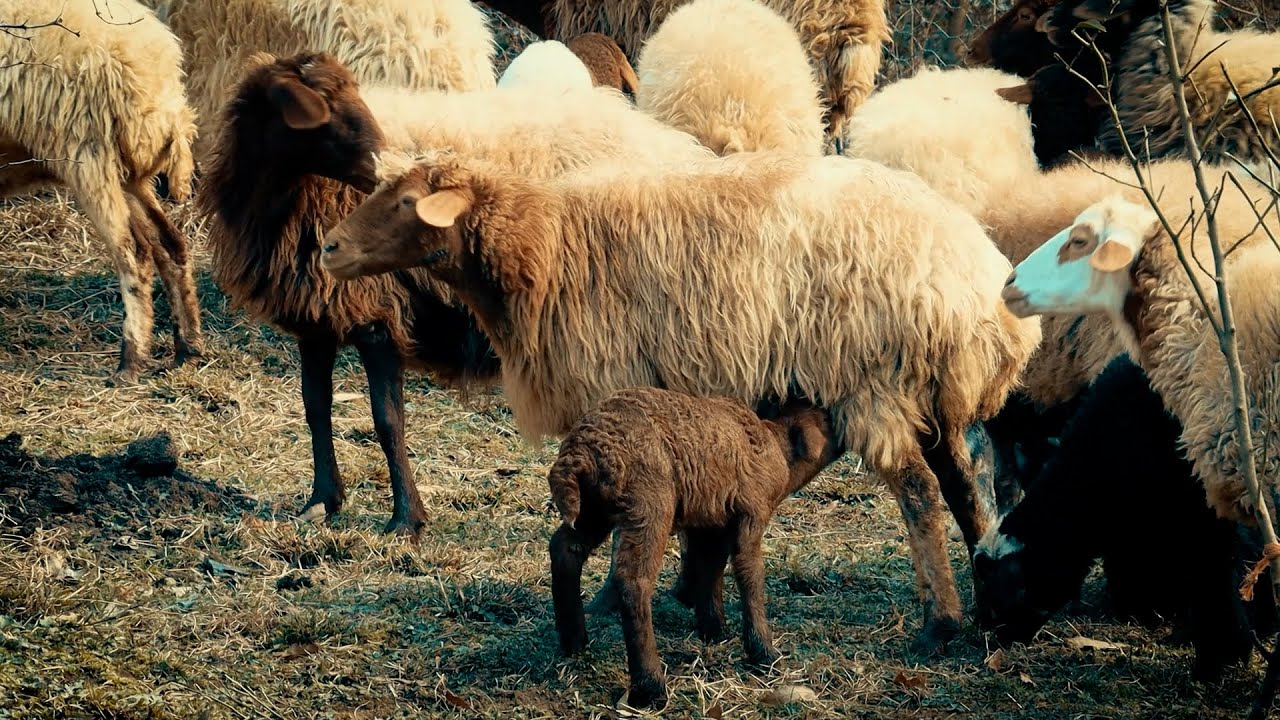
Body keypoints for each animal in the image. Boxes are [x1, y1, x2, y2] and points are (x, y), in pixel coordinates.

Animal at [0, 0, 201, 384]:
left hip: (88, 155)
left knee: (133, 254)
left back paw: (130, 363)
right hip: (126, 174)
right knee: (169, 244)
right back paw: (188, 348)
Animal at [198, 51, 714, 536]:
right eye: (324, 108)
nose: (389, 164)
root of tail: (676, 145)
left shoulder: (377, 315)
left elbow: (388, 420)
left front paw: (406, 519)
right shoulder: (318, 320)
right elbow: (315, 408)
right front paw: (322, 501)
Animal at [317, 147, 1044, 655]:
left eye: (408, 200)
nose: (328, 247)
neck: (548, 246)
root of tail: (976, 279)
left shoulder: (612, 387)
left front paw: (613, 597)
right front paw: (691, 591)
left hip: (872, 380)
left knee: (920, 494)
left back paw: (939, 623)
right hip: (931, 395)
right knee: (964, 488)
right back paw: (986, 605)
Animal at [547, 387, 842, 708]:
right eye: (826, 418)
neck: (778, 450)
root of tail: (579, 452)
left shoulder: (709, 521)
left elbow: (710, 569)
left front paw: (714, 630)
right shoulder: (750, 513)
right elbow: (749, 576)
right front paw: (764, 652)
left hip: (593, 509)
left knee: (564, 551)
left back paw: (574, 640)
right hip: (647, 505)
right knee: (632, 580)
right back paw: (651, 686)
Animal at [973, 355, 1261, 682]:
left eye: (1018, 590)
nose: (1000, 639)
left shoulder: (1203, 512)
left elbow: (1217, 572)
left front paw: (1221, 656)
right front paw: (1146, 609)